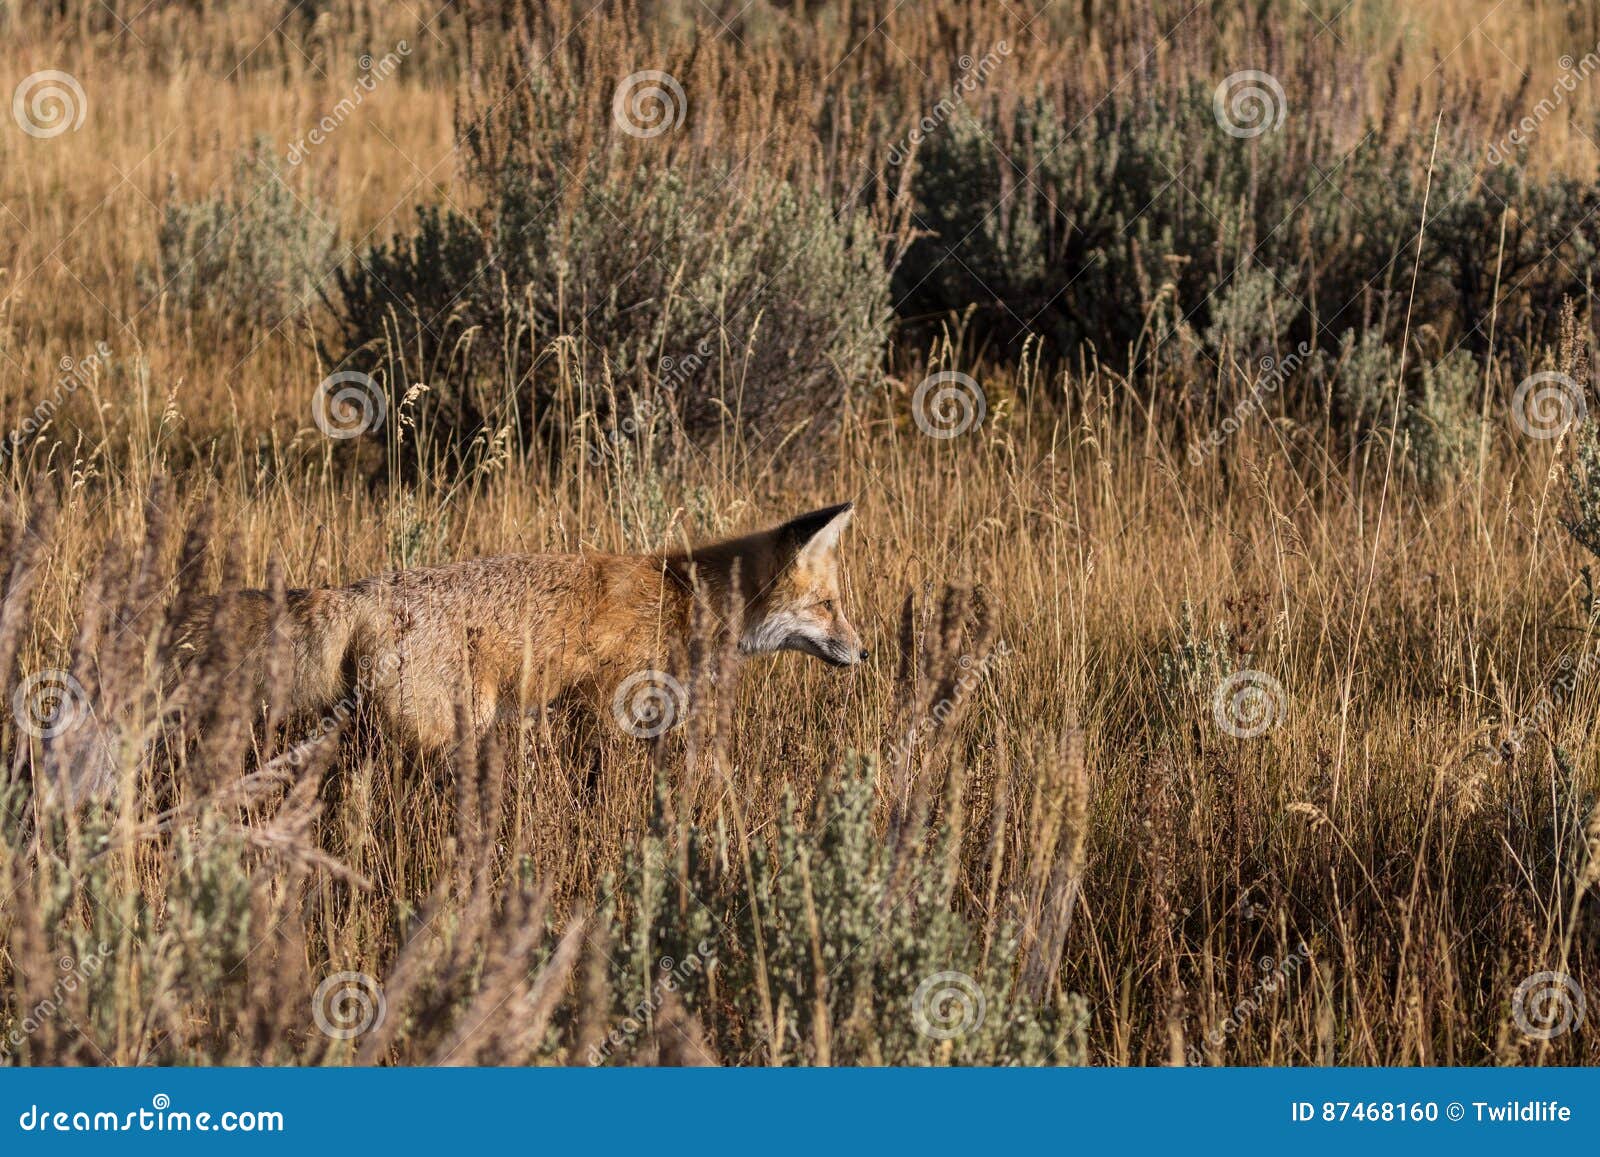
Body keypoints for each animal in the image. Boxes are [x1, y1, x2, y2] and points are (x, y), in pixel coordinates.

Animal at [179, 503, 866, 750]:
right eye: (829, 607)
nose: (863, 654)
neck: (683, 597)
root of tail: (361, 591)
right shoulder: (609, 705)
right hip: (452, 731)